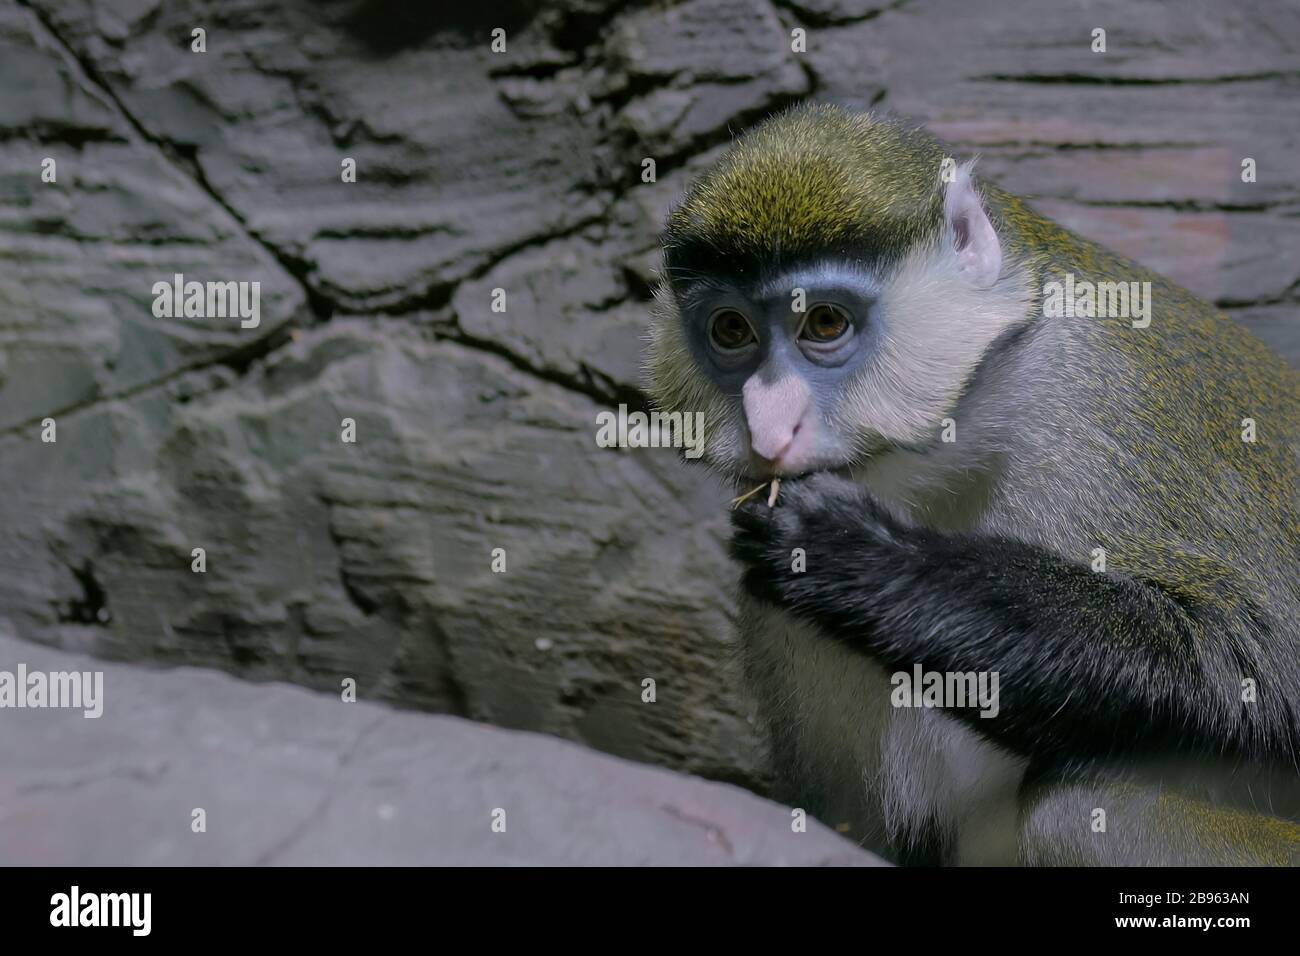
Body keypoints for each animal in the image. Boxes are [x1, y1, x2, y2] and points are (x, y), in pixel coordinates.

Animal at [645, 103, 1300, 866]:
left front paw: (875, 565)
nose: (770, 428)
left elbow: (1266, 679)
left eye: (825, 322)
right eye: (731, 330)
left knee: (1080, 803)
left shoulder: (1106, 403)